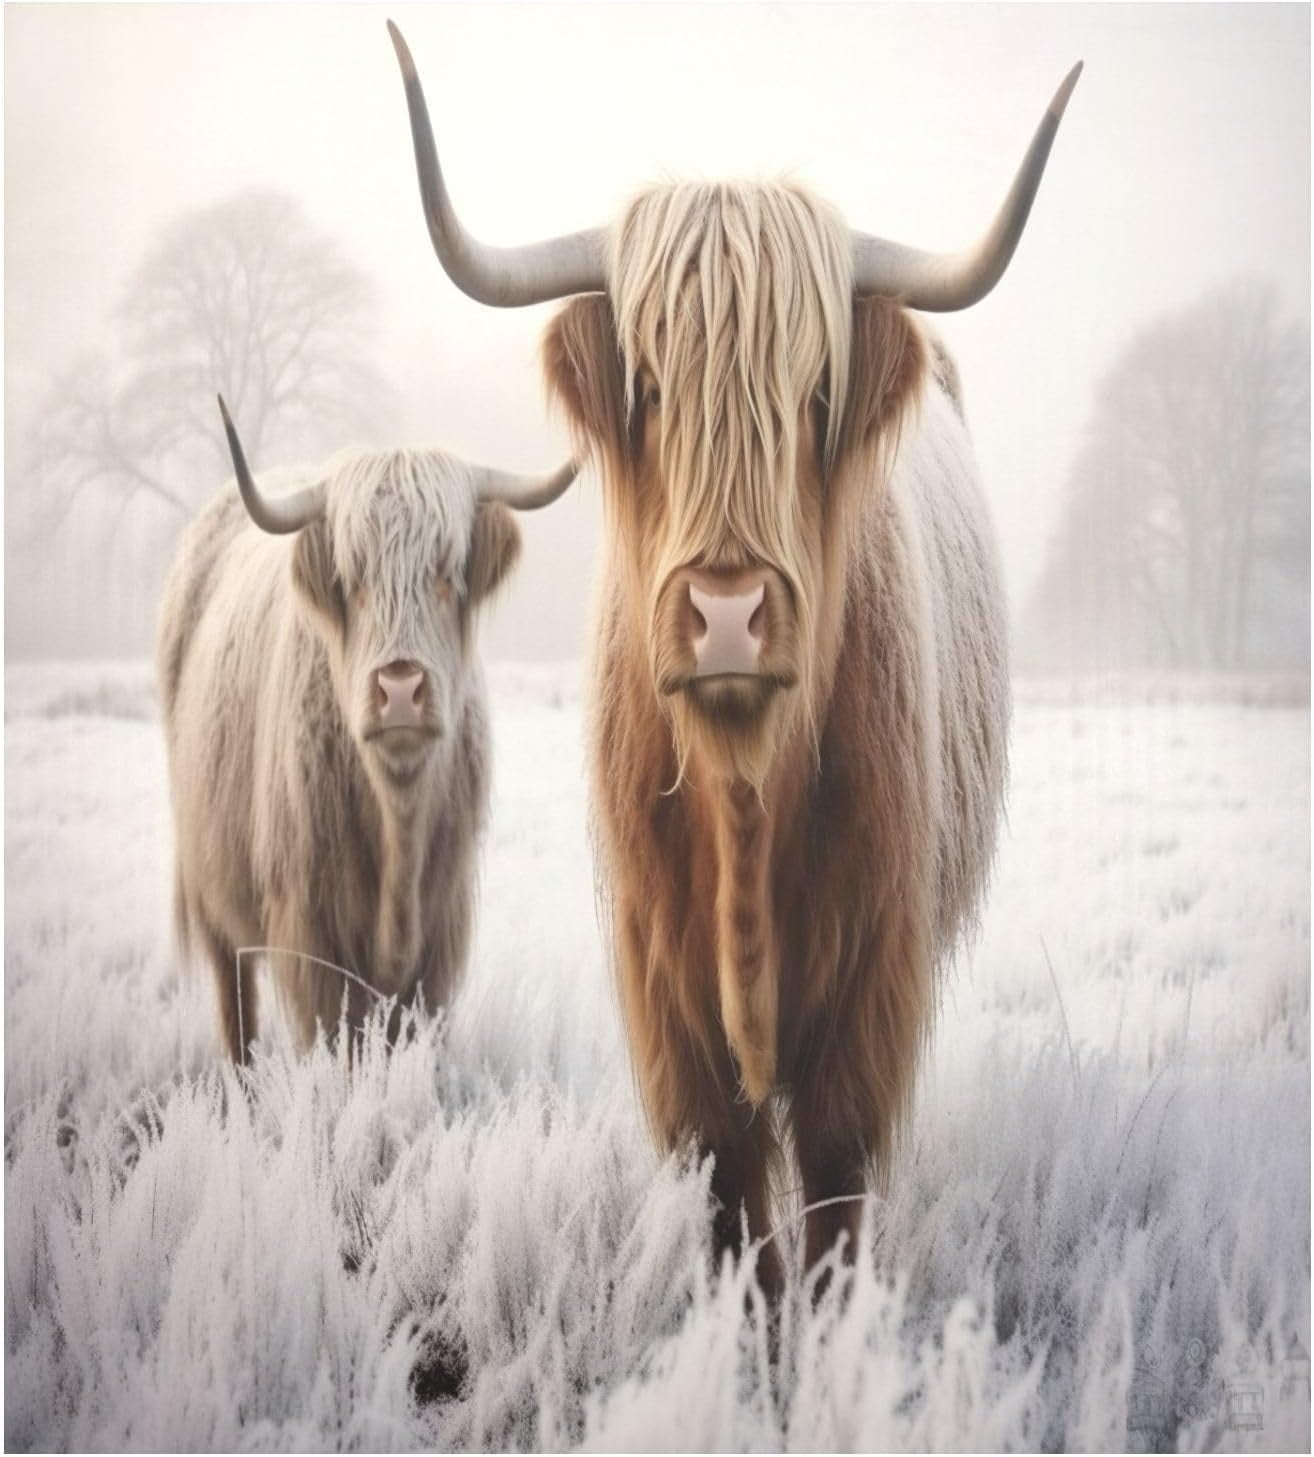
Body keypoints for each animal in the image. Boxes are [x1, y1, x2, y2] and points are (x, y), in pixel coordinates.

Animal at [158, 397, 574, 1064]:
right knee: (234, 1001)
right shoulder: (311, 934)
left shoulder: (441, 935)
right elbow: (337, 1051)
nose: (400, 689)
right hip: (210, 879)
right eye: (353, 578)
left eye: (447, 573)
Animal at [388, 22, 1080, 1288]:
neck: (745, 792)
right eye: (652, 388)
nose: (725, 612)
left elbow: (835, 1206)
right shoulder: (669, 1012)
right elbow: (733, 1215)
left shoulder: (871, 990)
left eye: (813, 395)